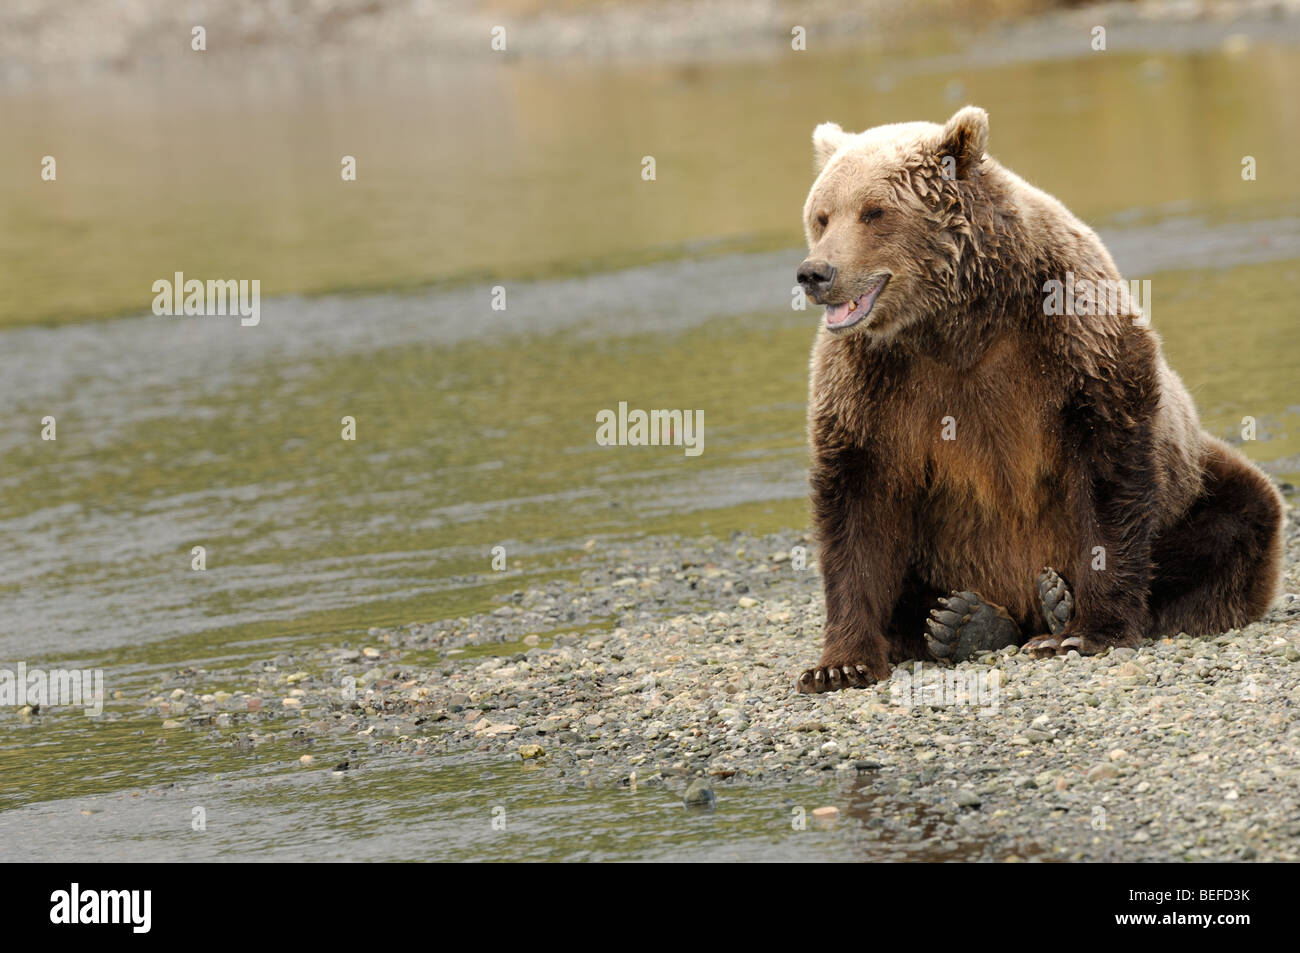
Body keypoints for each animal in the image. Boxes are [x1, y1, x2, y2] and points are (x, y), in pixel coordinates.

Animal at [793, 105, 1284, 693]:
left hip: (1192, 486)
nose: (816, 273)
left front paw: (1086, 631)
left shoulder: (1071, 337)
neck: (955, 322)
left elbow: (1106, 479)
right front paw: (840, 663)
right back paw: (965, 619)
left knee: (1240, 515)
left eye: (874, 212)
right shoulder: (870, 385)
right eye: (822, 215)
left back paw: (1052, 607)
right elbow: (858, 508)